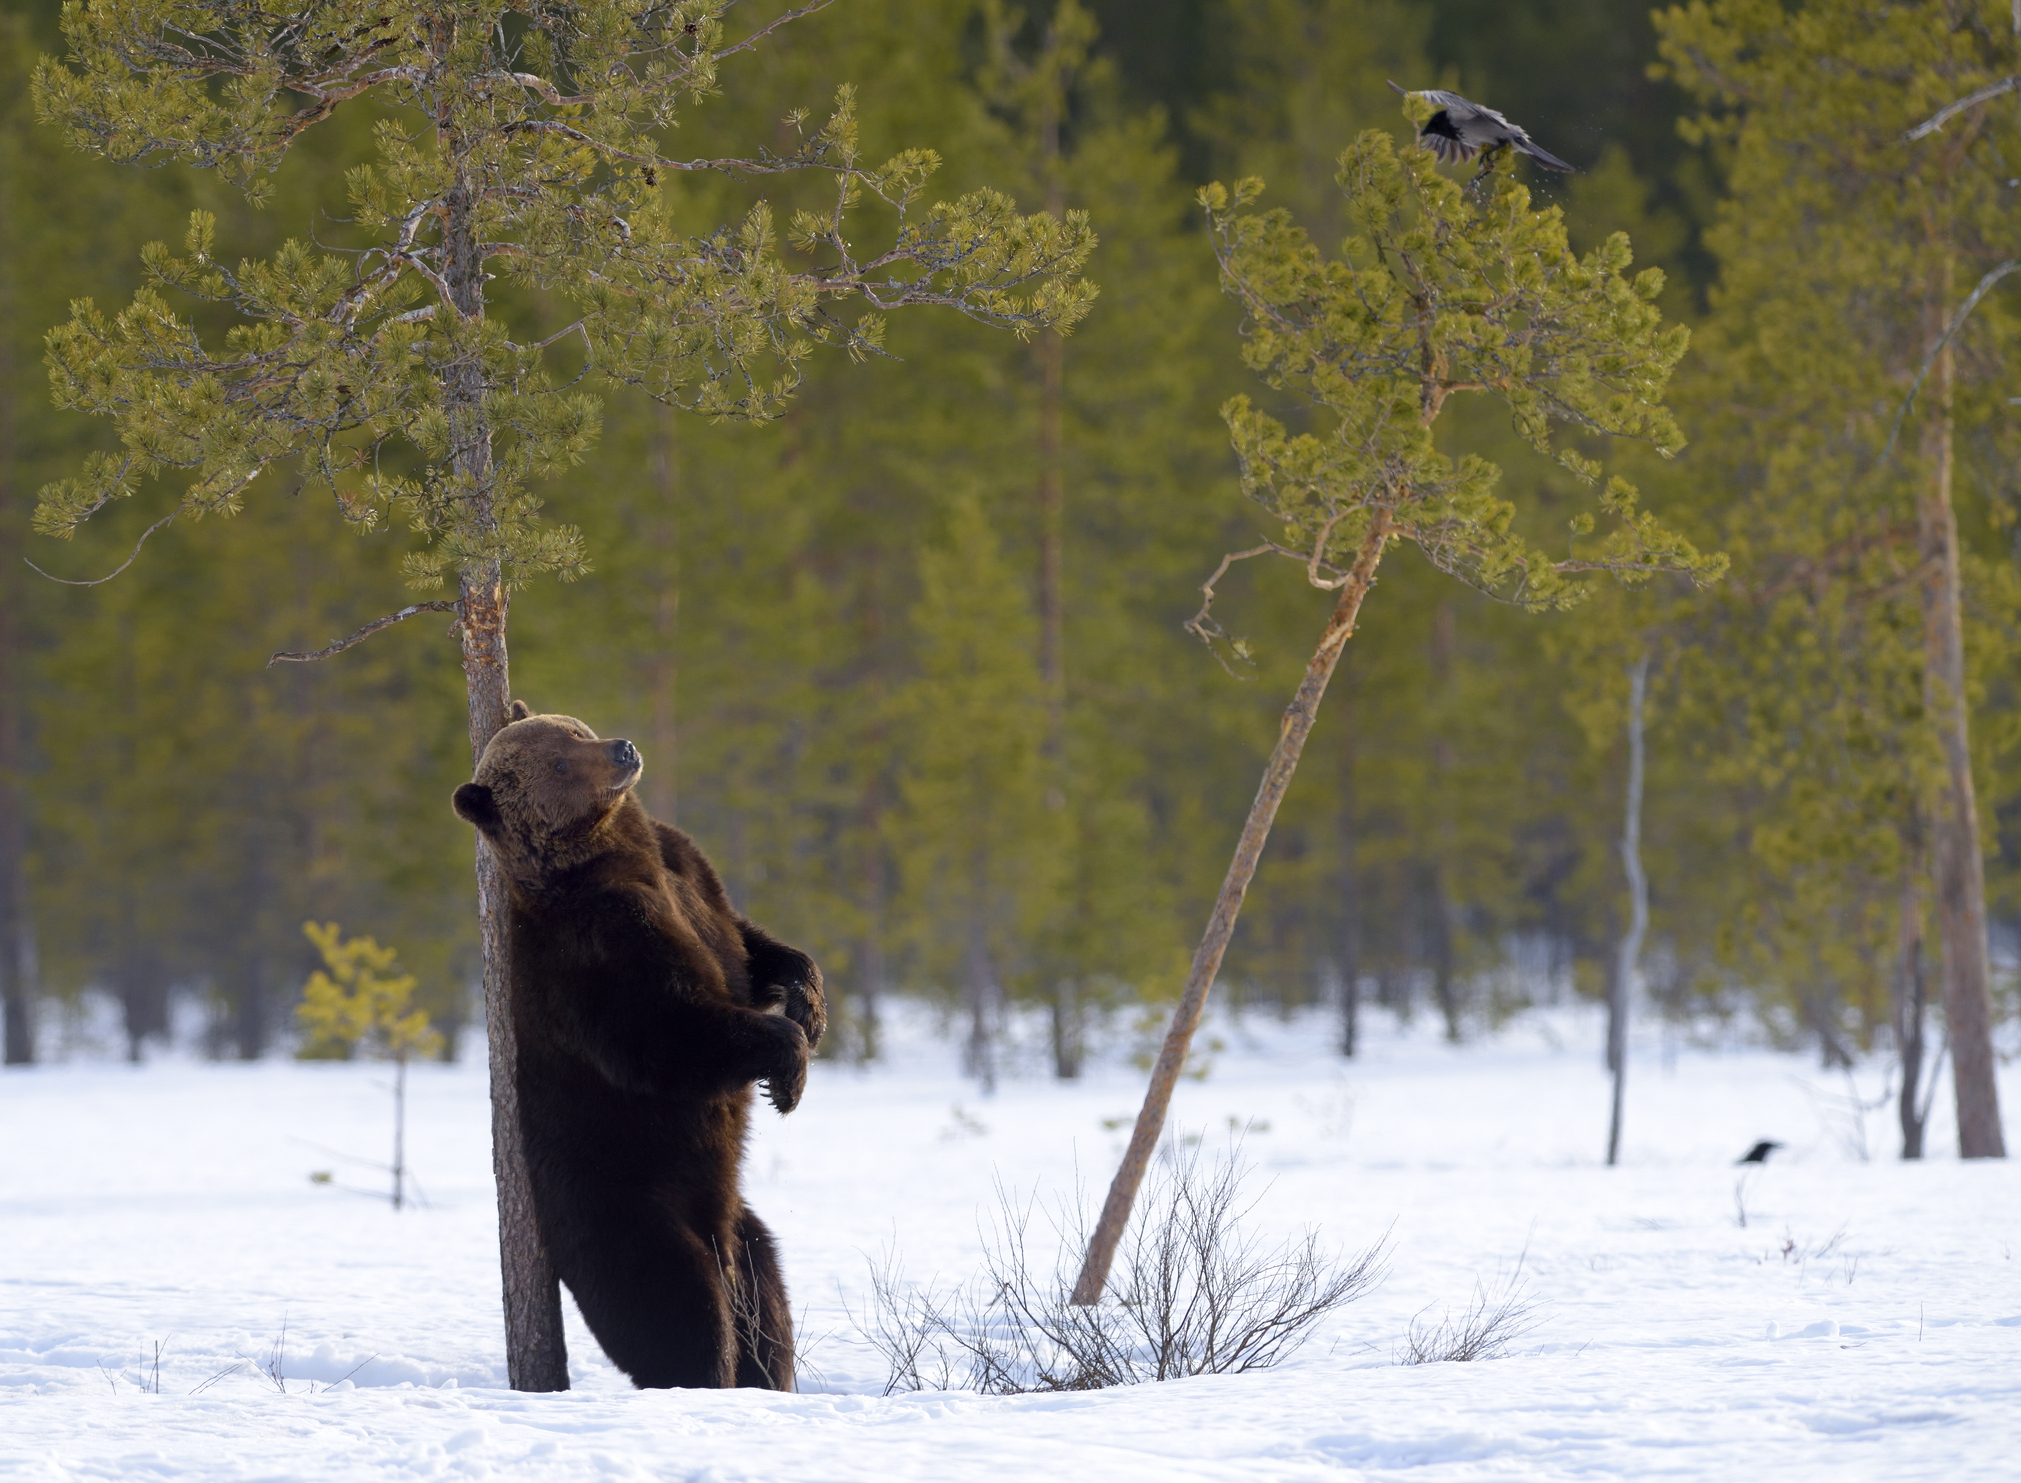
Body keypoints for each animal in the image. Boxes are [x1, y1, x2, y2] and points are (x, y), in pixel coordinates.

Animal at [451, 700, 825, 1391]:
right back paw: (706, 1374)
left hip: (747, 1236)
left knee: (769, 1312)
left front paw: (807, 1008)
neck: (614, 854)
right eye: (559, 762)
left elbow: (750, 946)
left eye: (575, 727)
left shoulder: (690, 874)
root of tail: (715, 1236)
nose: (621, 748)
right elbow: (662, 1033)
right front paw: (786, 1069)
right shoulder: (599, 945)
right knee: (681, 1315)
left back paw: (767, 1376)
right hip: (624, 1209)